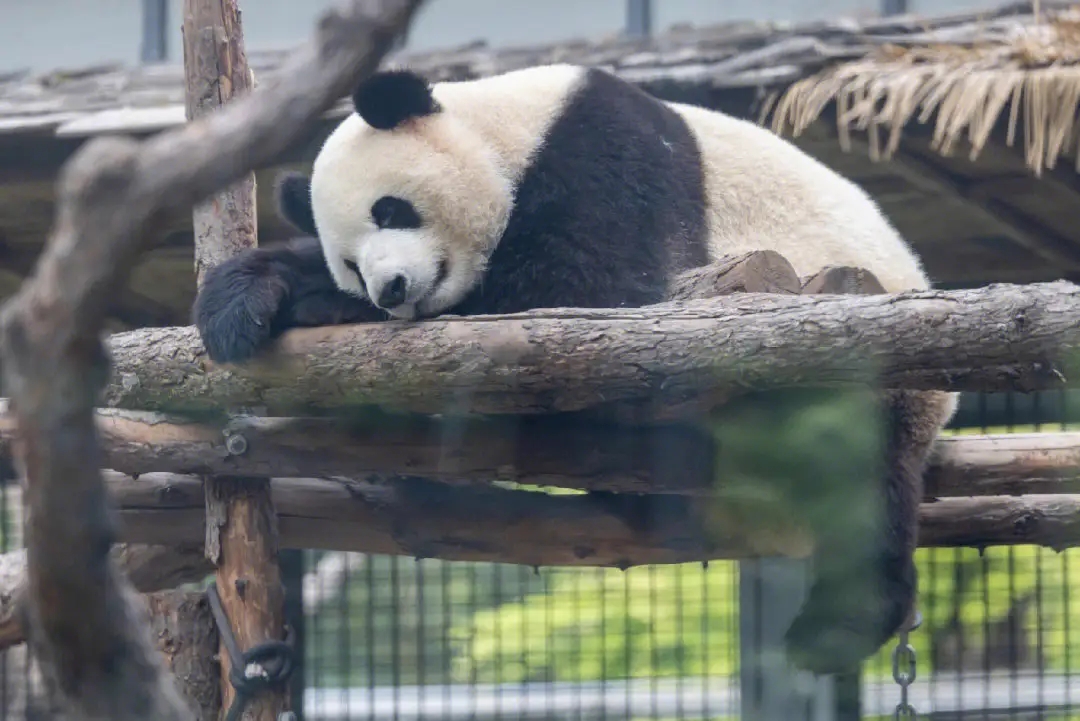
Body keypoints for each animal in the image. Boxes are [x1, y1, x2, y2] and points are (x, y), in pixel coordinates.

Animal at [192, 63, 956, 674]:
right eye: (351, 260)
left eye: (390, 209)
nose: (391, 291)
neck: (508, 131)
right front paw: (243, 298)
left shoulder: (610, 152)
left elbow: (582, 287)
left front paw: (309, 298)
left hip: (864, 358)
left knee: (858, 485)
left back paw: (836, 628)